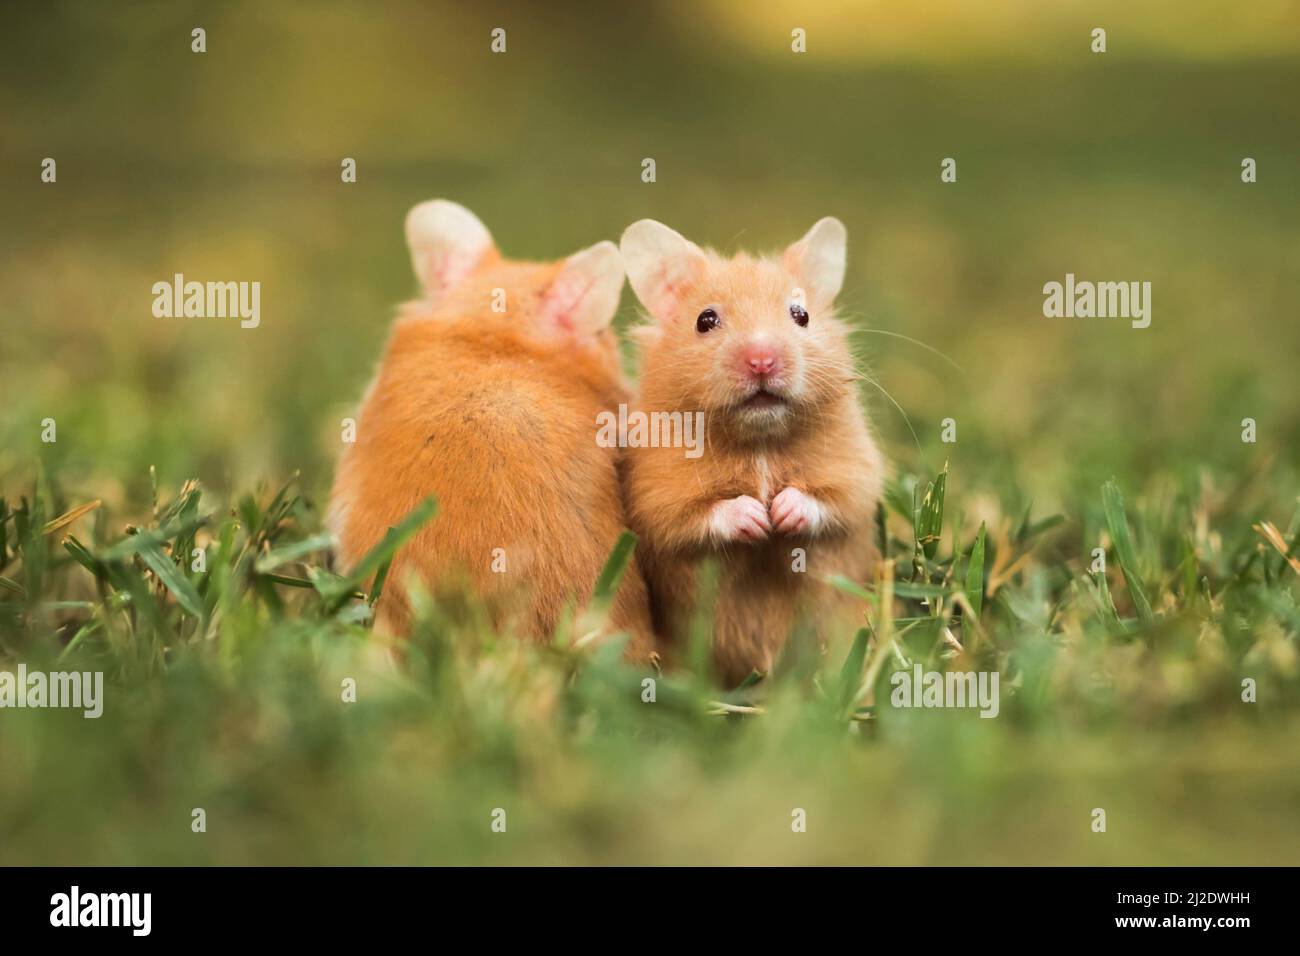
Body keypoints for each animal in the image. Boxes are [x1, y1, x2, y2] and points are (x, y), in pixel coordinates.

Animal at [619, 217, 885, 686]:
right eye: (705, 319)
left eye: (801, 315)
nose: (762, 359)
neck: (759, 440)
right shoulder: (654, 495)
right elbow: (694, 517)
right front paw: (758, 519)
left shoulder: (856, 471)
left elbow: (834, 502)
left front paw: (781, 512)